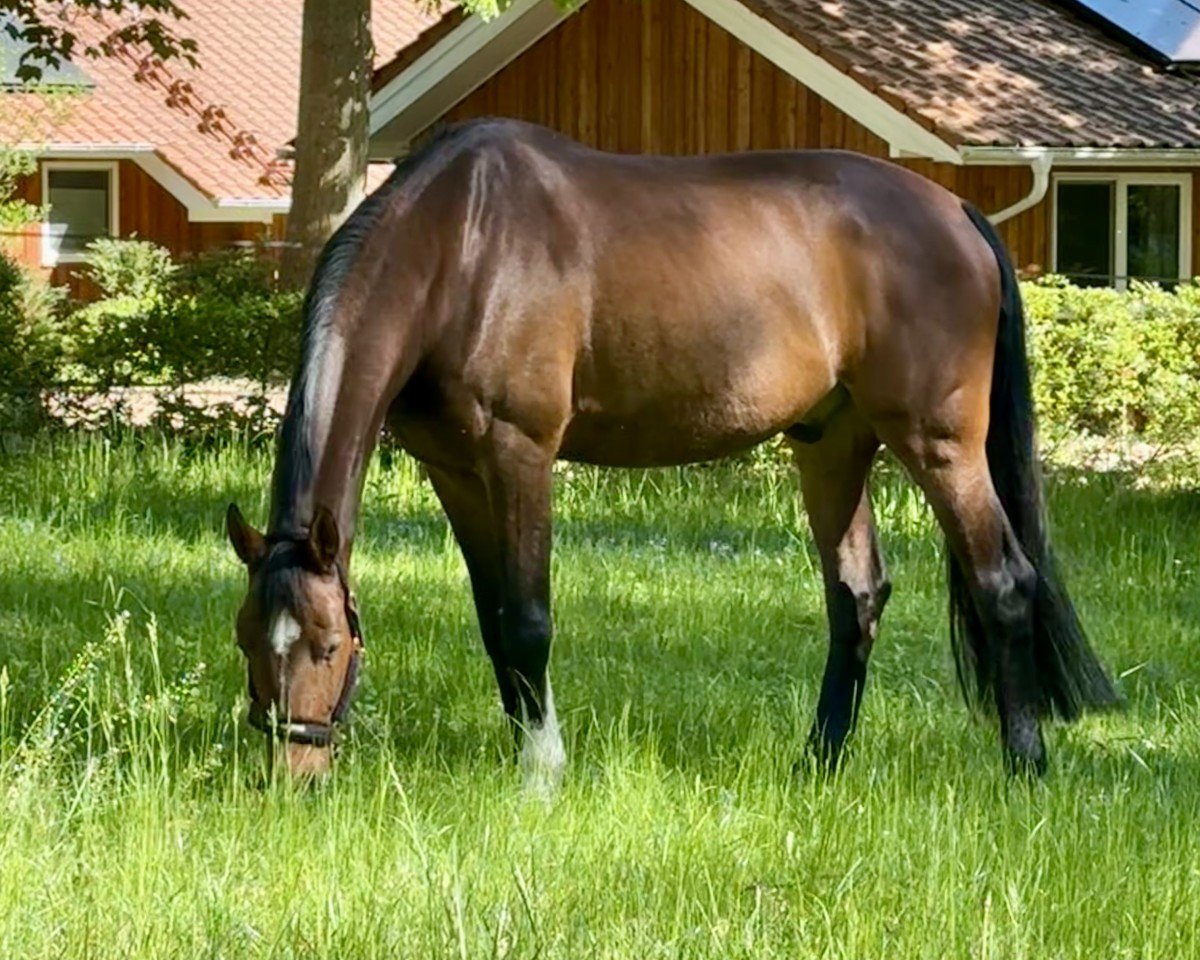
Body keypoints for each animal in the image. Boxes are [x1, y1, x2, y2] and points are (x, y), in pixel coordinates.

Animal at [226, 118, 1117, 782]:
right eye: (246, 639)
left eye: (328, 646)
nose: (292, 777)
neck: (460, 246)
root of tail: (958, 211)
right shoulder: (454, 467)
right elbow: (492, 618)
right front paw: (521, 752)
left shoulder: (519, 453)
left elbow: (527, 618)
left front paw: (543, 772)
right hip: (833, 442)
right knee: (856, 597)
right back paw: (818, 764)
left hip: (940, 442)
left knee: (1003, 581)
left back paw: (1026, 765)